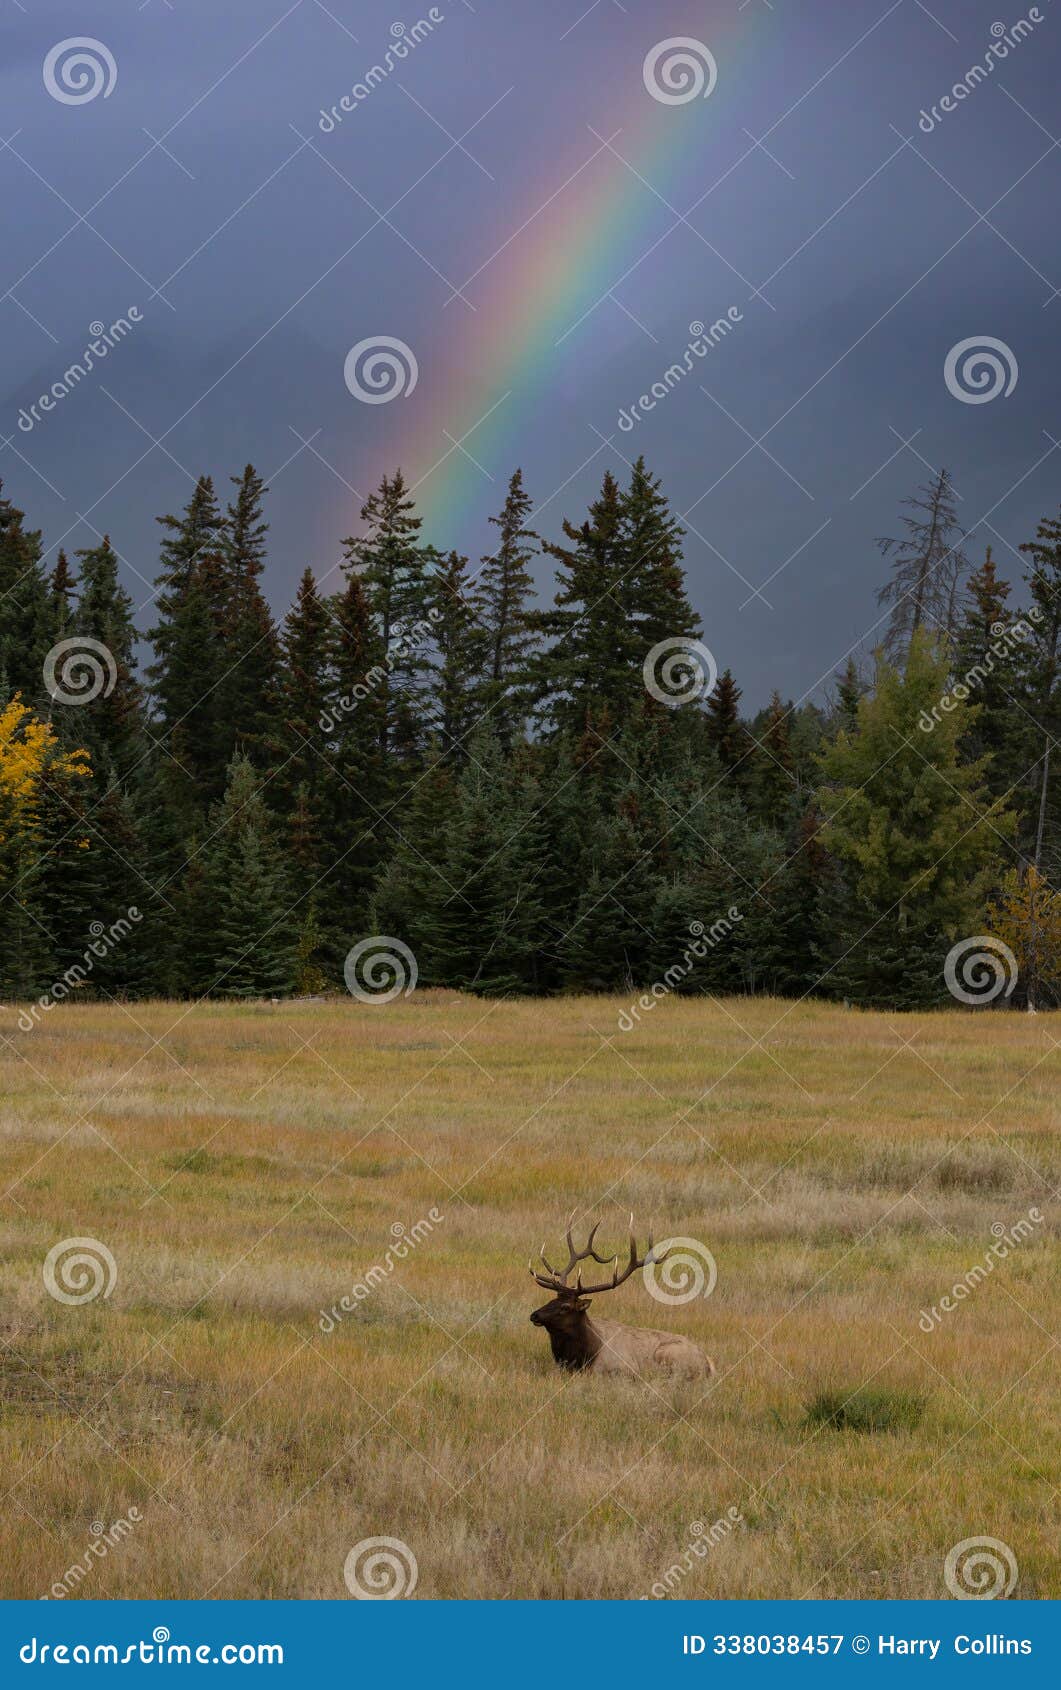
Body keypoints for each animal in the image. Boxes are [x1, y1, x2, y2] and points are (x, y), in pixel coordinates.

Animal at [528, 1215, 714, 1379]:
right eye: (551, 1300)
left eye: (565, 1307)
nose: (534, 1315)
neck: (585, 1356)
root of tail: (709, 1364)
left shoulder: (623, 1369)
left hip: (667, 1354)